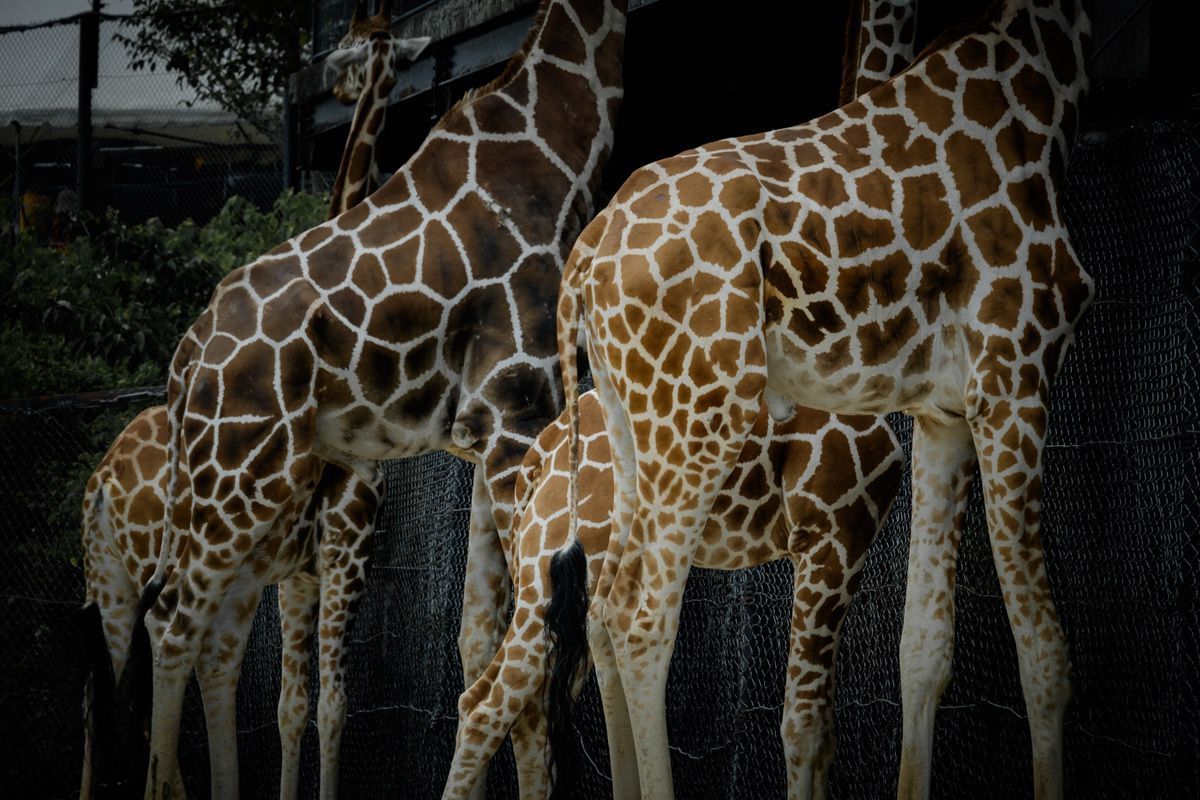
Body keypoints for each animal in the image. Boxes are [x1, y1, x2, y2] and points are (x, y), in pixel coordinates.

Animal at [77, 406, 380, 800]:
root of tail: (104, 480)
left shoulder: (299, 578)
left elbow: (291, 707)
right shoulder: (348, 546)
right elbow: (333, 706)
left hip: (110, 583)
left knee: (98, 692)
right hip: (189, 563)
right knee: (180, 646)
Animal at [442, 391, 903, 799]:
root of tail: (541, 451)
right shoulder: (832, 535)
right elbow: (807, 726)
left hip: (561, 576)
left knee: (524, 710)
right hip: (561, 561)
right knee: (486, 705)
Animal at [556, 1, 1093, 797]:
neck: (1049, 77)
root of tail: (586, 257)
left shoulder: (943, 417)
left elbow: (923, 650)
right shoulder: (1015, 369)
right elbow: (1046, 655)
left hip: (635, 429)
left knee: (605, 612)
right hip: (699, 413)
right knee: (639, 619)